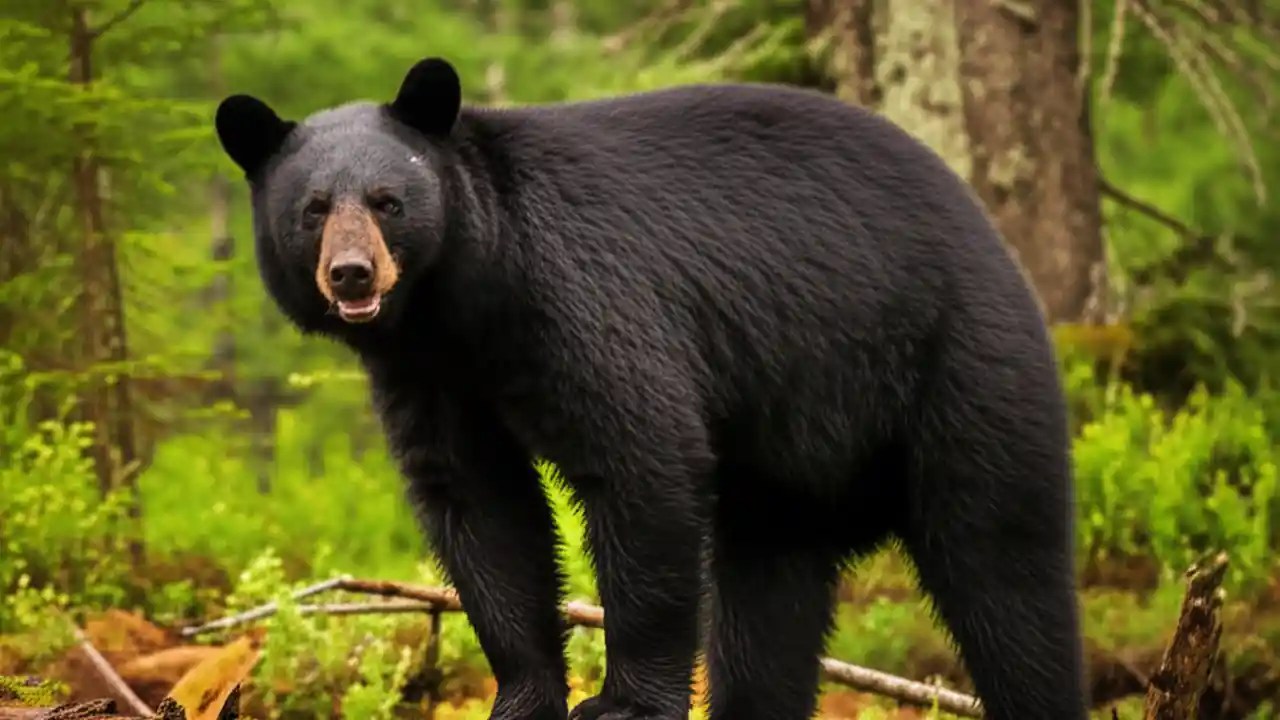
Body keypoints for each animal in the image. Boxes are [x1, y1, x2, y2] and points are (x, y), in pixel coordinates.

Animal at [213, 57, 1088, 720]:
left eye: (388, 202)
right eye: (312, 209)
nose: (352, 274)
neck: (465, 305)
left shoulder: (586, 296)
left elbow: (639, 458)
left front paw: (624, 702)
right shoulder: (430, 378)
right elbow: (480, 508)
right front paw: (524, 695)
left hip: (958, 369)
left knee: (1005, 571)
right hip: (788, 472)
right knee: (767, 605)